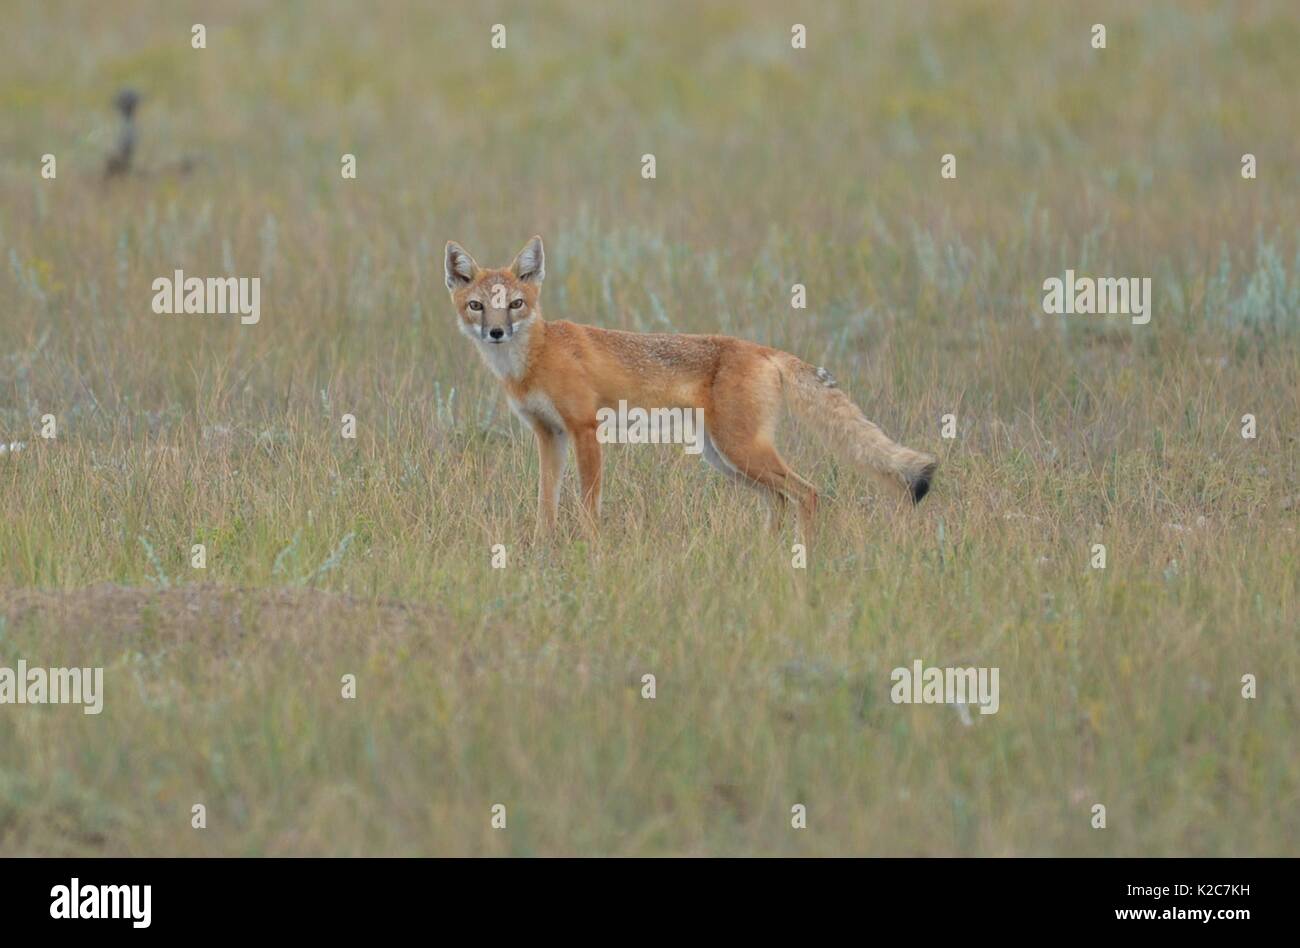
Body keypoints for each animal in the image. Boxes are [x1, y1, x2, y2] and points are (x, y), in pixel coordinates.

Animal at [446, 236, 937, 538]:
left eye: (515, 304)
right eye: (477, 307)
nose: (496, 333)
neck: (535, 358)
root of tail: (765, 350)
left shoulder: (585, 430)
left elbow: (588, 505)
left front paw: (591, 550)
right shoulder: (549, 435)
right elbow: (545, 503)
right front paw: (544, 549)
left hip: (742, 452)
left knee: (809, 493)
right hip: (727, 459)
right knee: (780, 502)